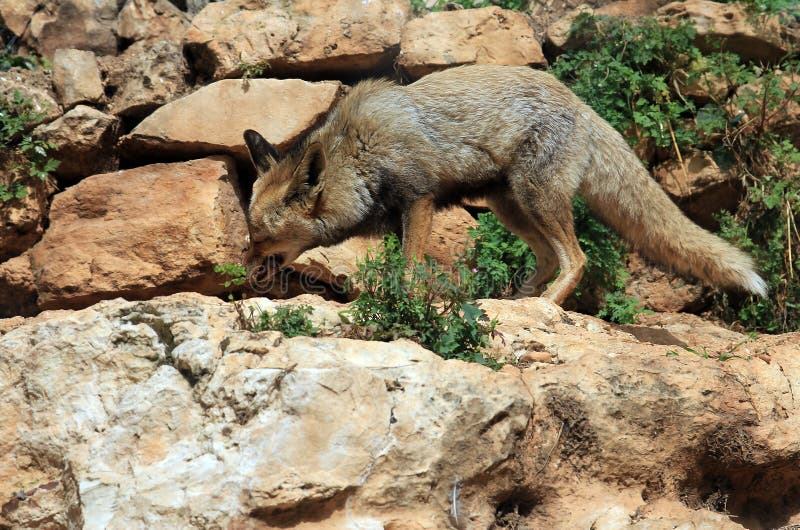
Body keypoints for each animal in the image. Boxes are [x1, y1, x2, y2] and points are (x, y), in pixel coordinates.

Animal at [242, 64, 767, 305]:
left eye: (262, 237)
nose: (244, 270)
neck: (359, 154)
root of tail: (582, 106)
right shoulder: (400, 216)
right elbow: (399, 268)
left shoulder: (419, 200)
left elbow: (408, 270)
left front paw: (402, 304)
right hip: (509, 207)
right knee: (547, 258)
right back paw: (517, 299)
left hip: (537, 199)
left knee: (576, 259)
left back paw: (547, 308)